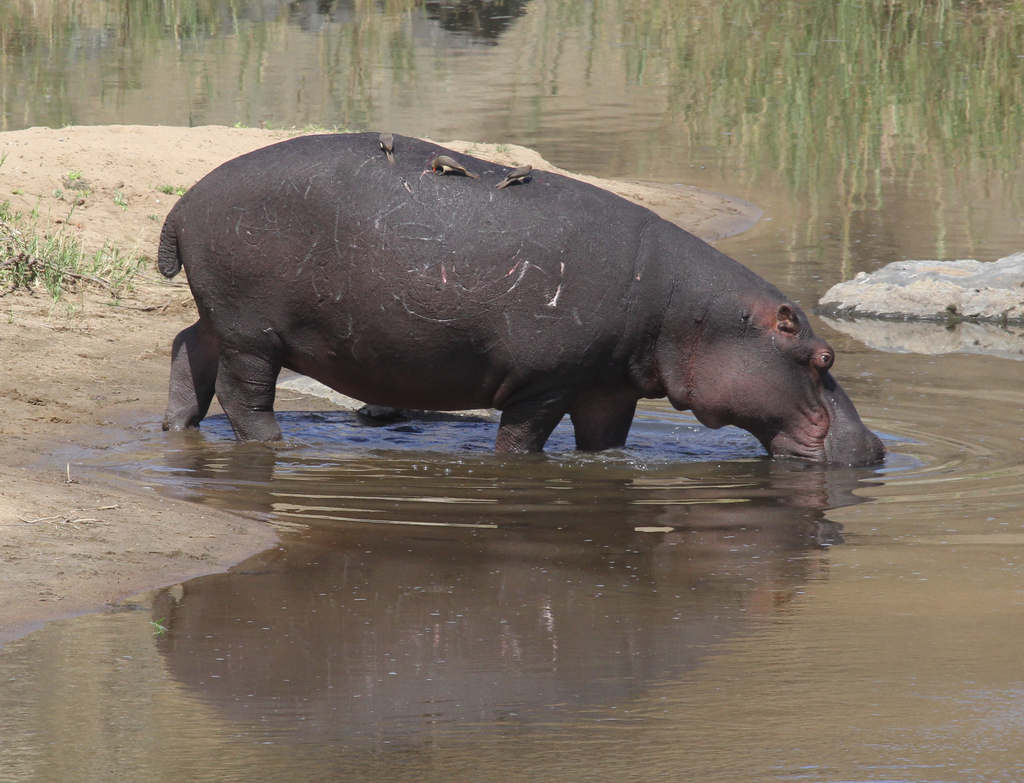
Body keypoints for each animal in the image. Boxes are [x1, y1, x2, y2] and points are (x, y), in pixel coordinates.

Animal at [158, 132, 884, 466]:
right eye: (822, 359)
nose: (876, 446)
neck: (697, 318)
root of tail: (185, 202)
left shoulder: (606, 385)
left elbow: (603, 444)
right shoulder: (545, 382)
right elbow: (522, 442)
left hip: (221, 318)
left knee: (186, 351)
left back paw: (175, 429)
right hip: (253, 333)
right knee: (243, 396)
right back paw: (277, 446)